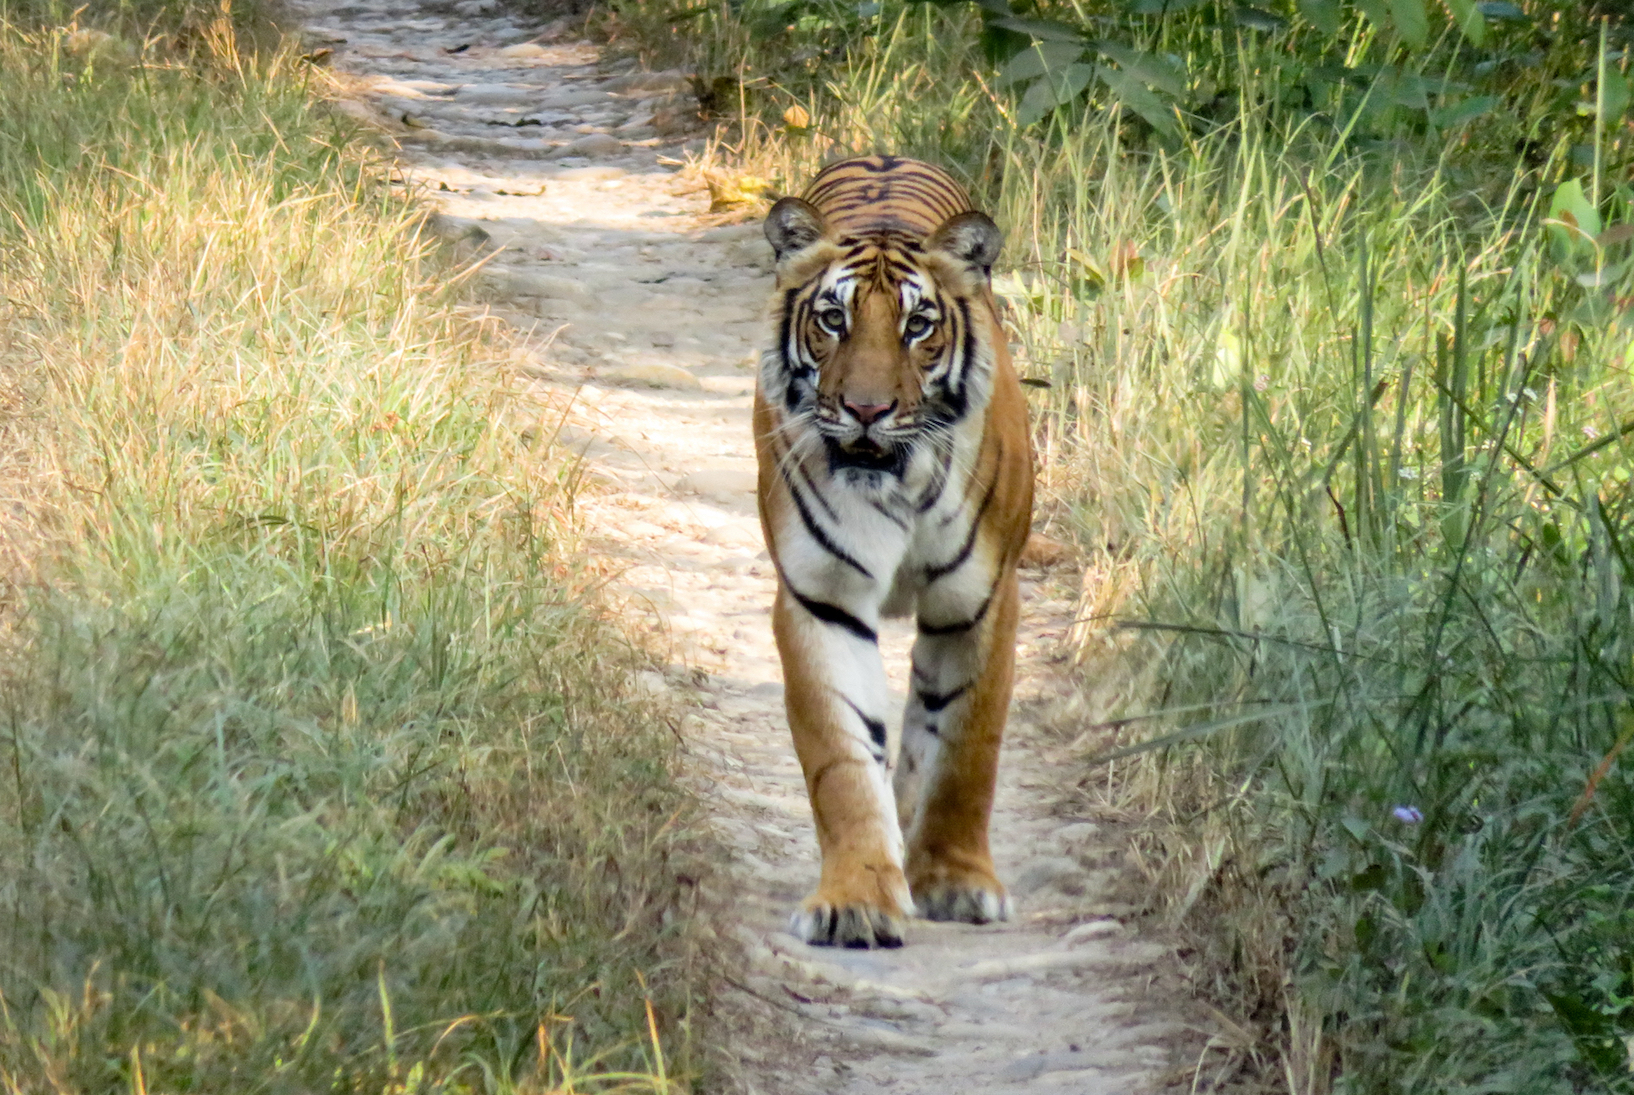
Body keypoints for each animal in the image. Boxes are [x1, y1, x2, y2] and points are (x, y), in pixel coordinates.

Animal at [754, 155, 1034, 948]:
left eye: (917, 327)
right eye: (833, 320)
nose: (867, 410)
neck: (896, 485)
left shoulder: (982, 601)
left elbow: (967, 748)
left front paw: (957, 883)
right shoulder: (822, 597)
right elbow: (843, 756)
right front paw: (856, 900)